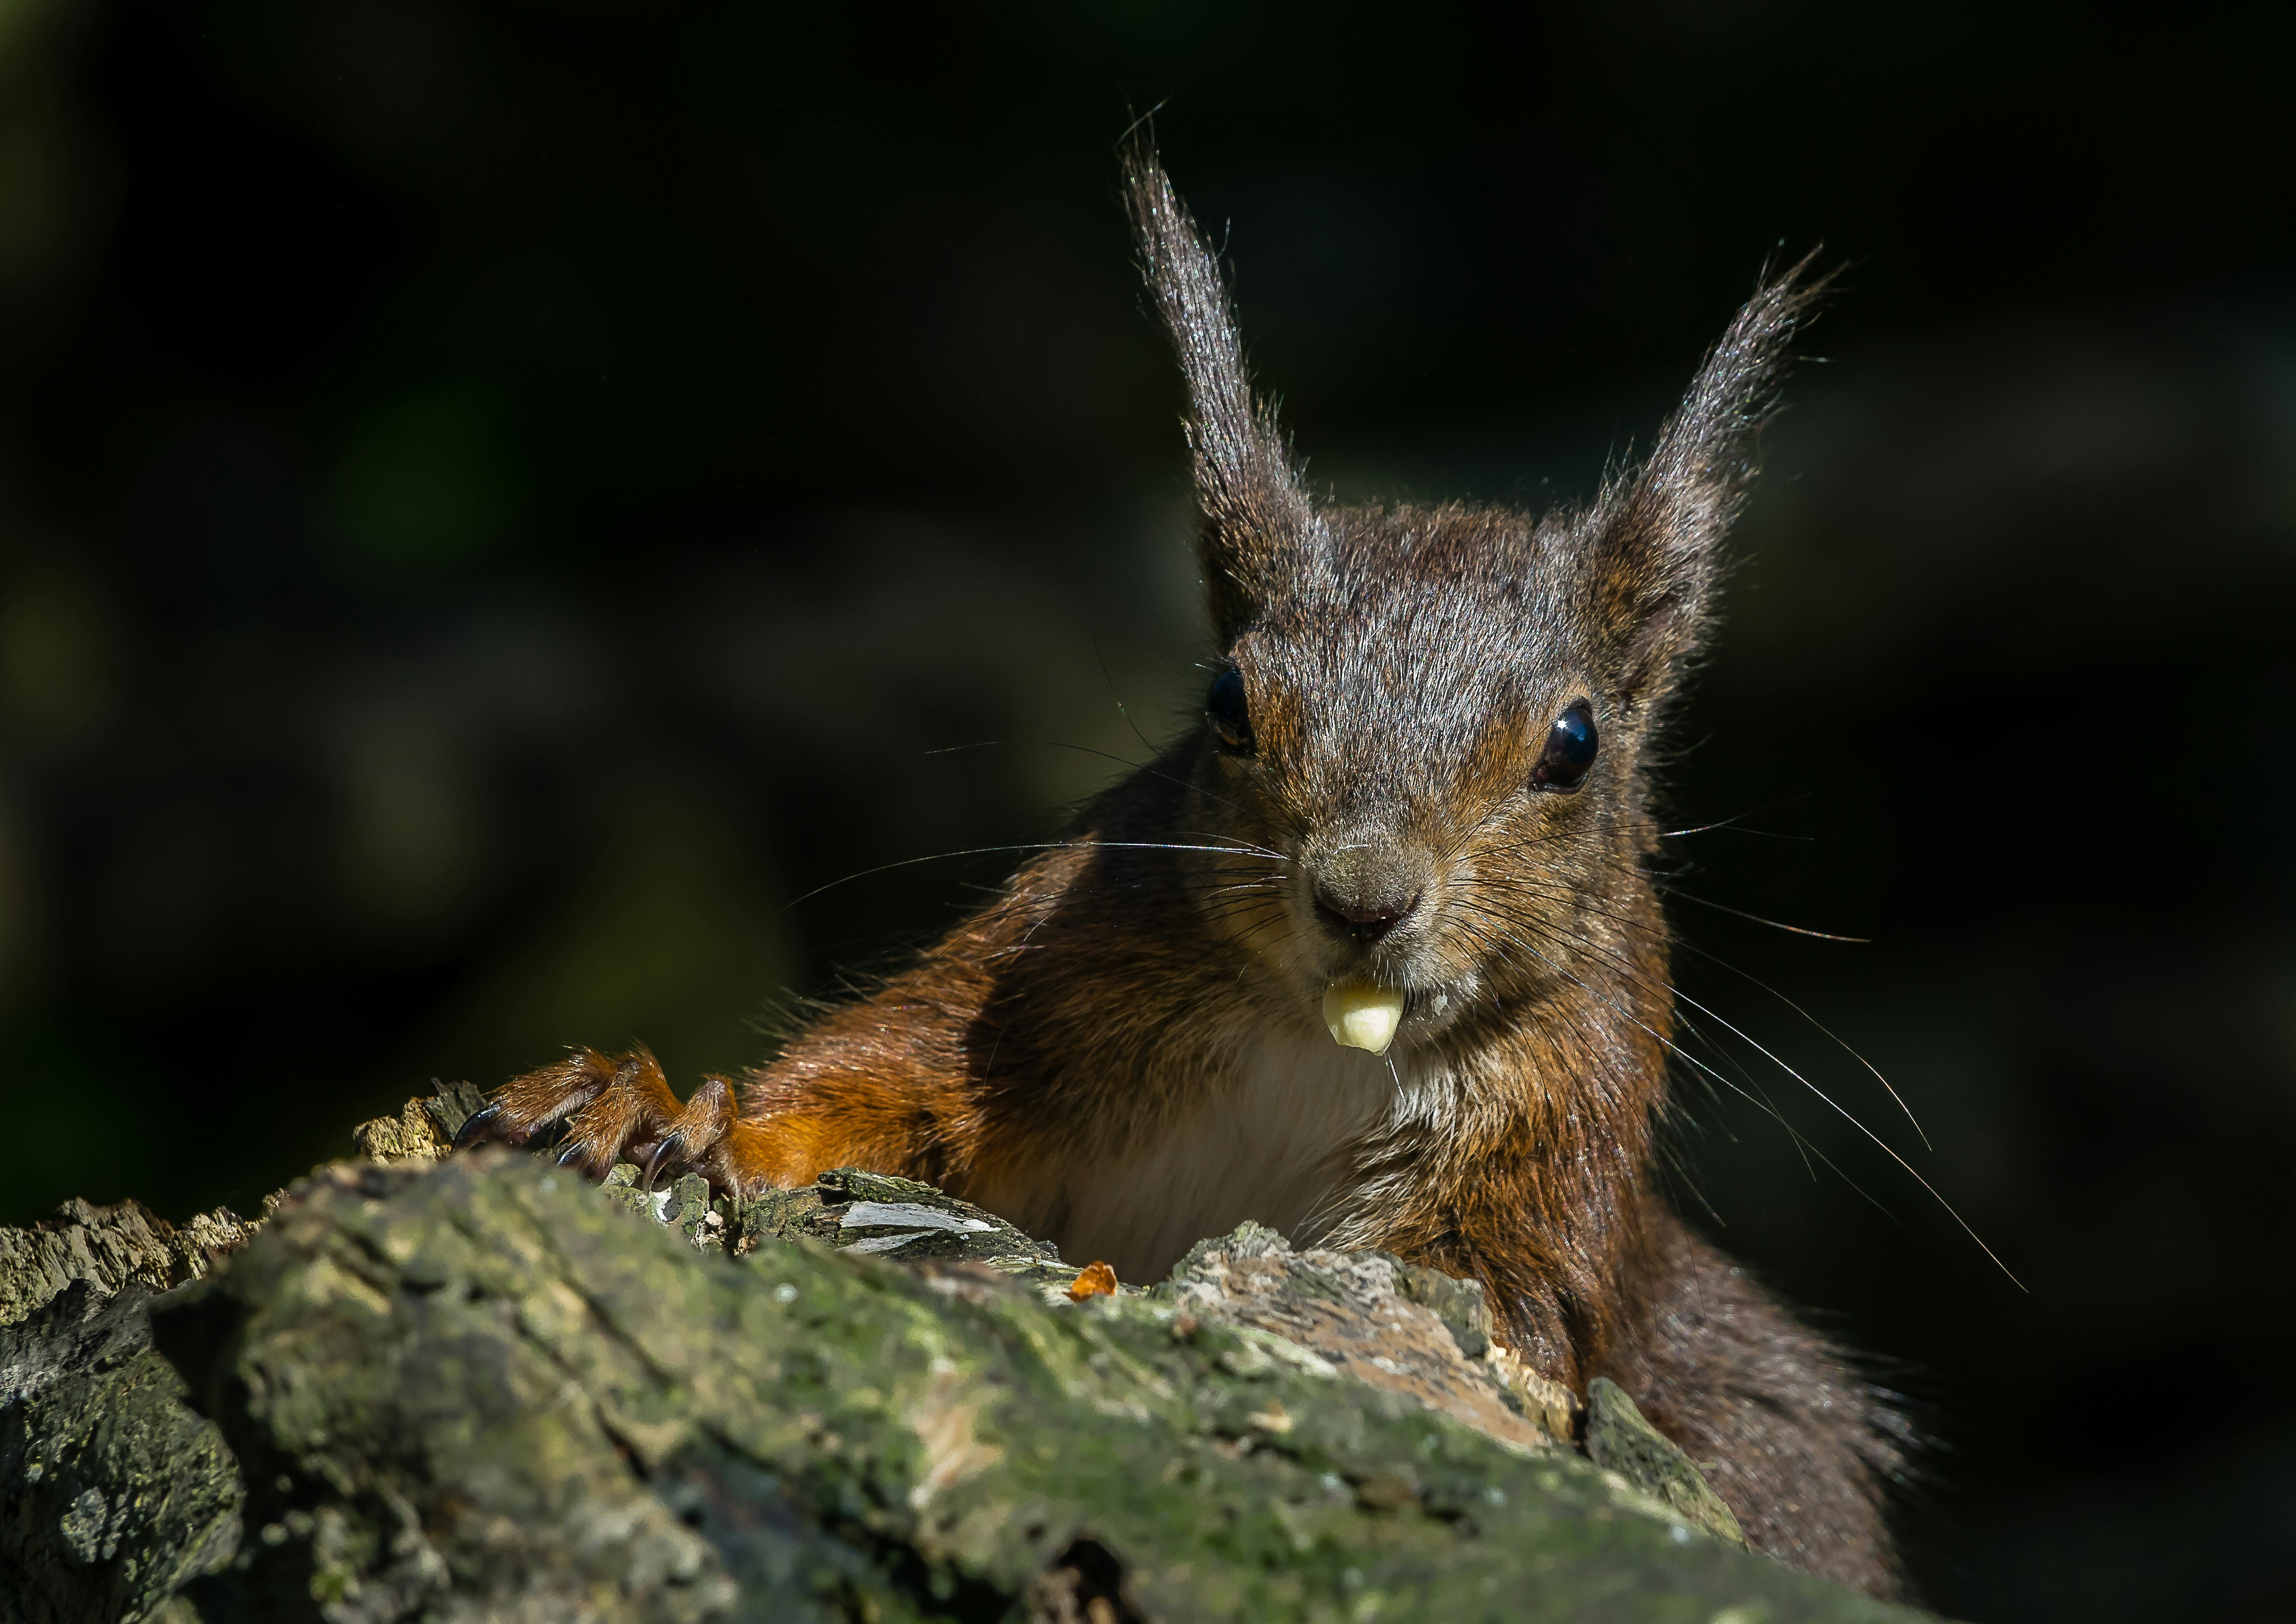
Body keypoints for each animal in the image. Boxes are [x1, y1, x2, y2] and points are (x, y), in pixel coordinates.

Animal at [457, 146, 1912, 1594]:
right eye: (1226, 702)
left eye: (1575, 743)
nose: (1363, 898)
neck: (1321, 1044)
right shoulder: (1048, 977)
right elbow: (877, 1085)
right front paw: (649, 1105)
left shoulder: (1558, 1127)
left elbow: (1512, 1312)